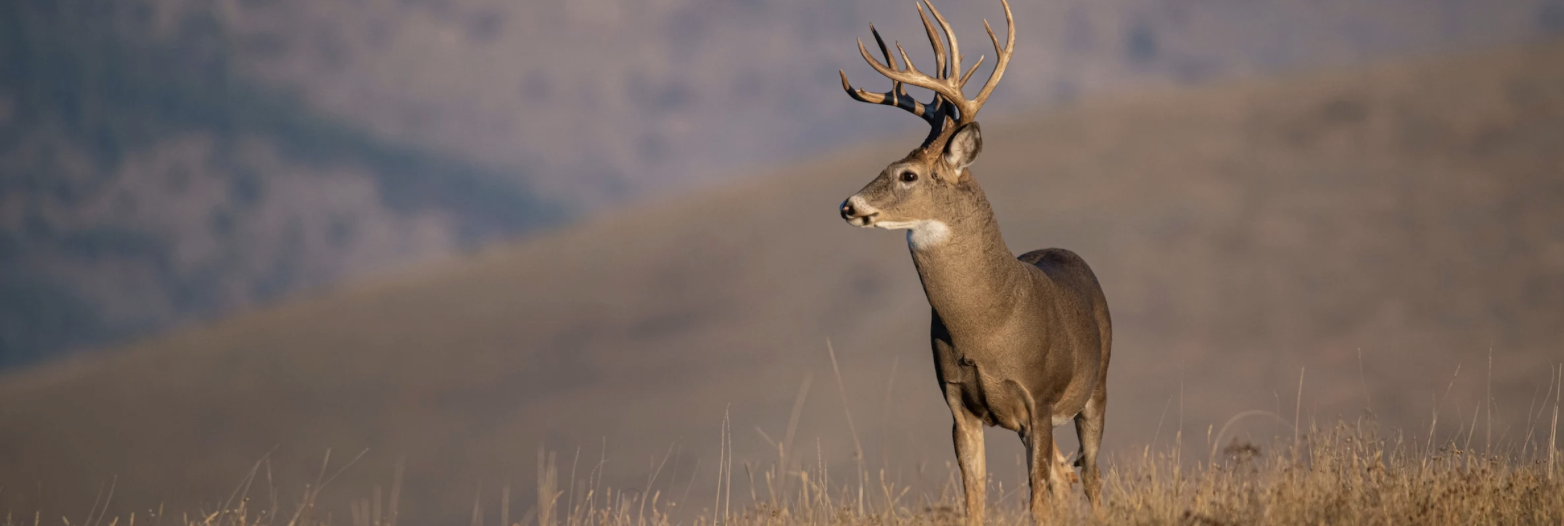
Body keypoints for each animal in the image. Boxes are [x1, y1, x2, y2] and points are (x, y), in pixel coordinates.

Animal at [835, 1, 1112, 524]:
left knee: (1089, 476)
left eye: (908, 174)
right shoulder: (958, 405)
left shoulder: (1038, 399)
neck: (987, 328)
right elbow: (975, 499)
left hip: (1096, 386)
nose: (848, 205)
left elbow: (1037, 499)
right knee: (1065, 475)